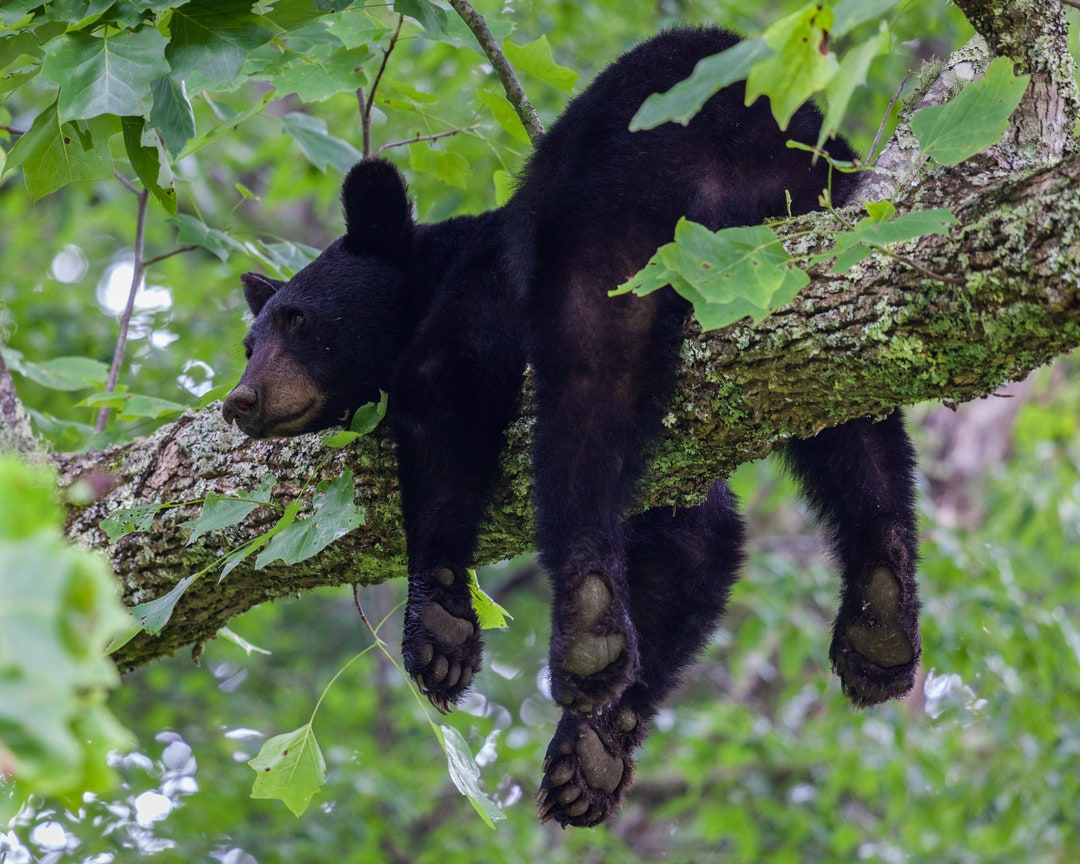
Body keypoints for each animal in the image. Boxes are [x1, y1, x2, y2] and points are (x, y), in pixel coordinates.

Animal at [223, 26, 921, 828]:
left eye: (299, 322)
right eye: (249, 342)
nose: (240, 400)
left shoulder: (486, 282)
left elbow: (445, 383)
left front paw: (440, 624)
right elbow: (697, 537)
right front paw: (592, 754)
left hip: (616, 203)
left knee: (591, 375)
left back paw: (584, 619)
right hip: (813, 227)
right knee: (851, 402)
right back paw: (880, 611)